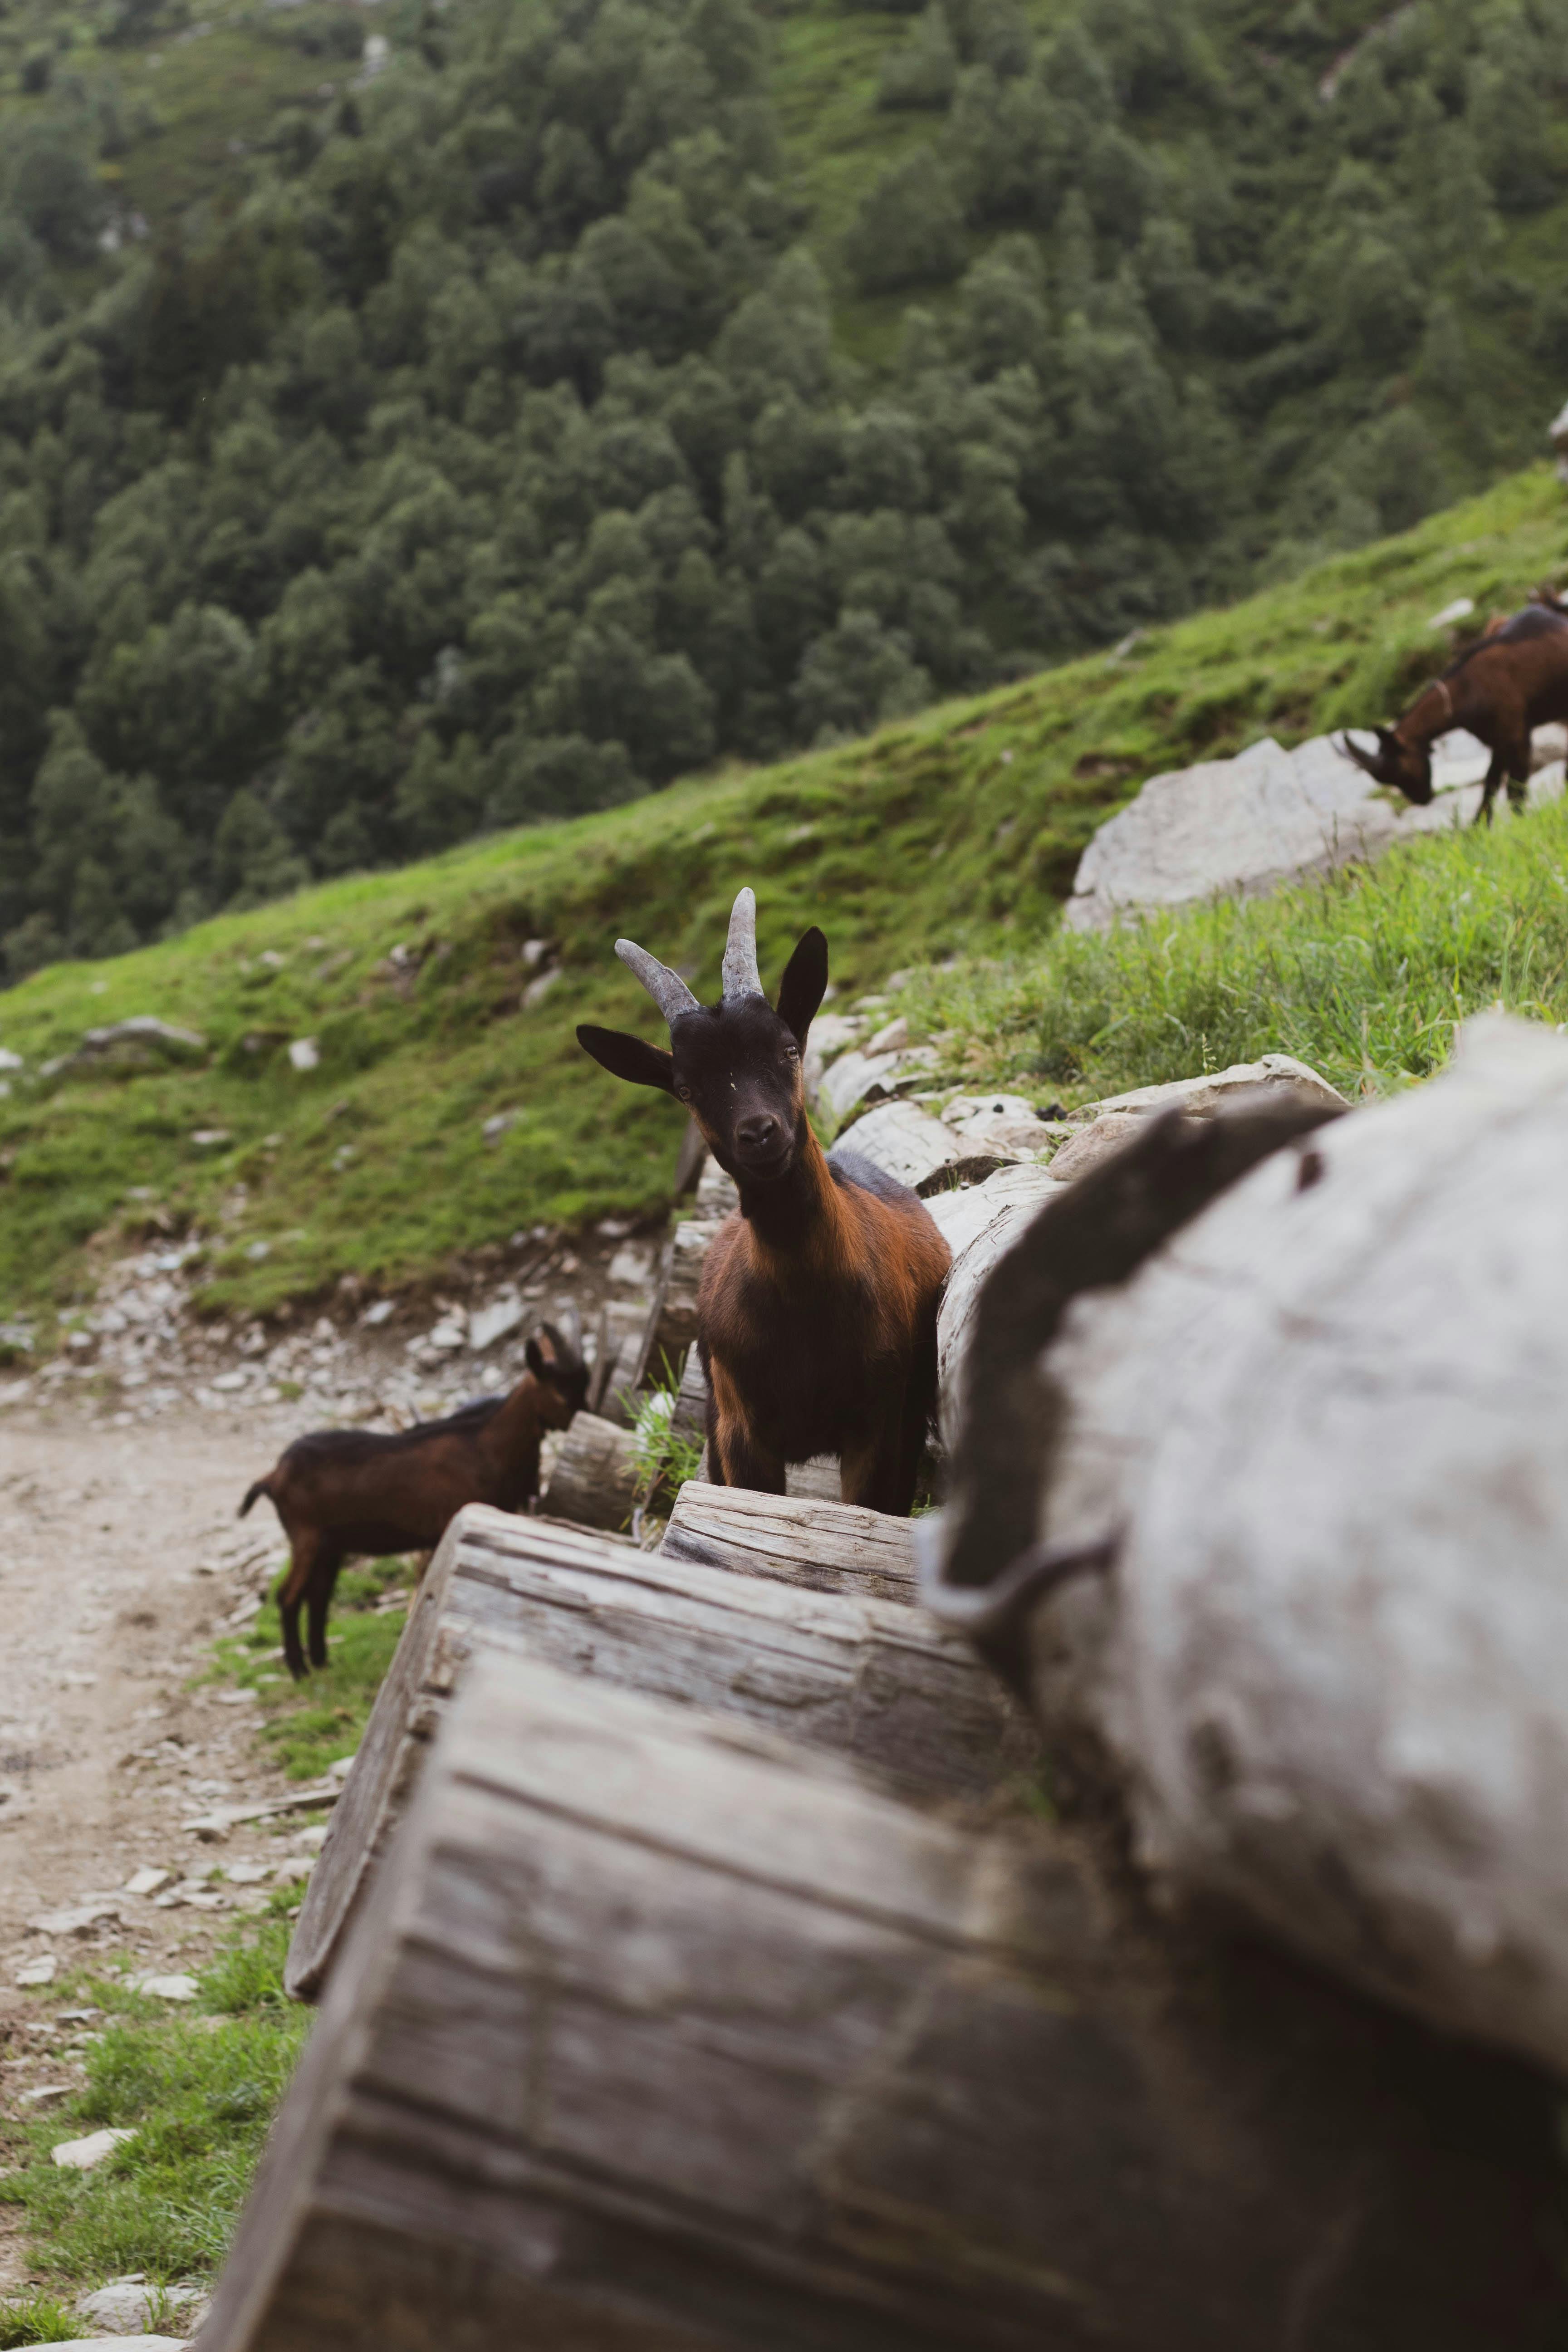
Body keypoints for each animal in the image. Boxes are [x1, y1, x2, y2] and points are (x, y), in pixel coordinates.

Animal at [239, 1320, 587, 1679]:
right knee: (289, 1596)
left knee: (318, 1594)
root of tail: (273, 1476)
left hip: (329, 1544)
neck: (488, 1448)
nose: (587, 1419)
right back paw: (299, 1669)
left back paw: (321, 1661)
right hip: (305, 1535)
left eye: (585, 1383)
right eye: (561, 1394)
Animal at [577, 889, 950, 1516]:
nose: (759, 1134)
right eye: (686, 1088)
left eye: (789, 1049)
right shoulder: (741, 1431)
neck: (806, 1298)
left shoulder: (879, 1424)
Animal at [1339, 604, 1568, 822]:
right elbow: (1490, 784)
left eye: (1399, 770)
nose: (1421, 800)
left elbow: (1514, 787)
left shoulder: (1517, 734)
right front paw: (1478, 827)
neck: (1468, 690)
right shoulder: (1498, 740)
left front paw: (1520, 821)